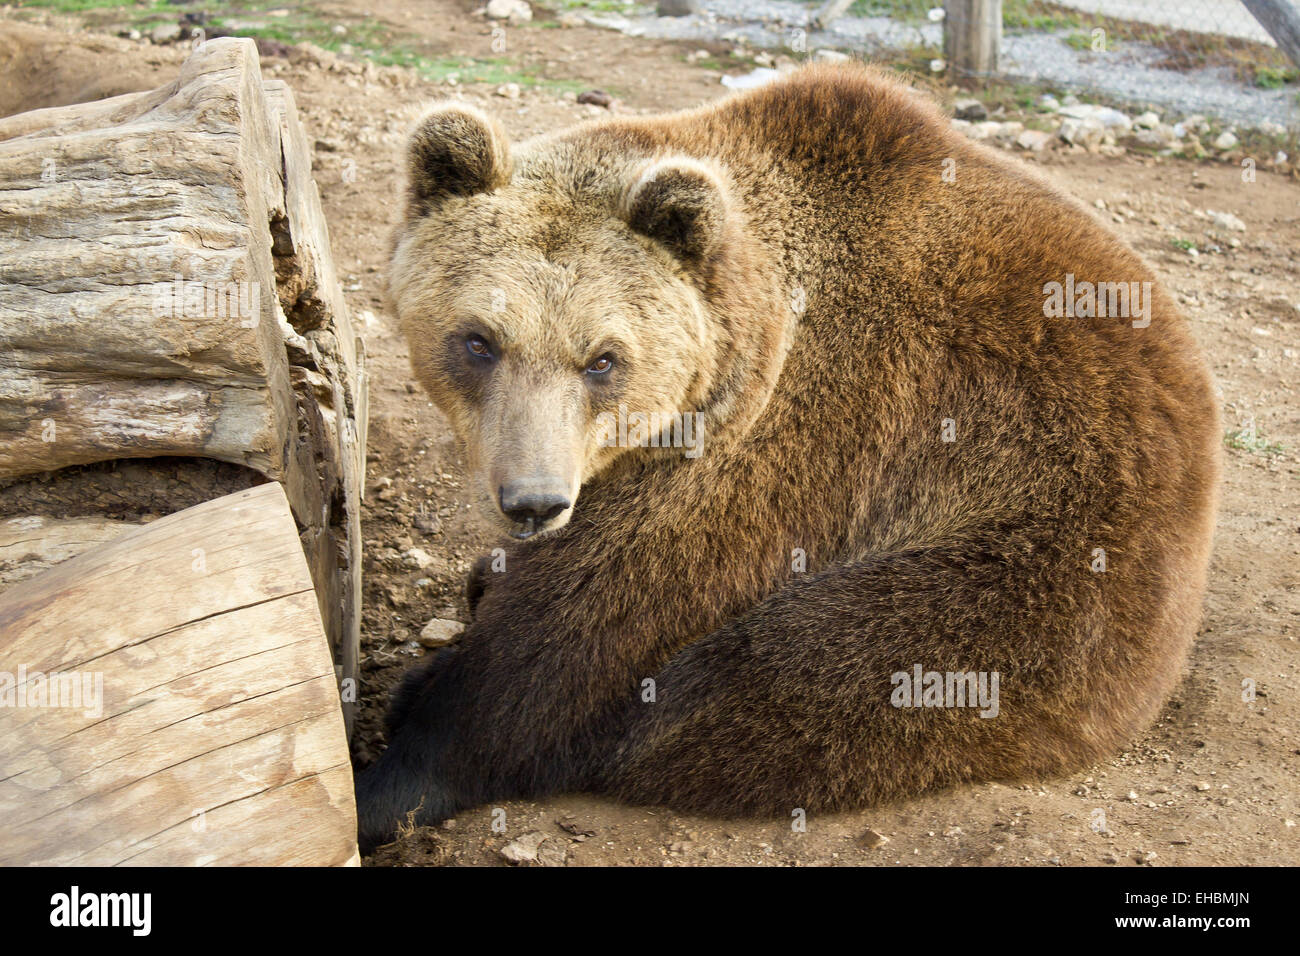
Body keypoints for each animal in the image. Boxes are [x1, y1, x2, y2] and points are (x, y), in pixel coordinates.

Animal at [356, 63, 1220, 852]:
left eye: (603, 359)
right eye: (478, 340)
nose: (534, 501)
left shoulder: (776, 454)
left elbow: (574, 641)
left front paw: (398, 763)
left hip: (1040, 567)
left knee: (765, 680)